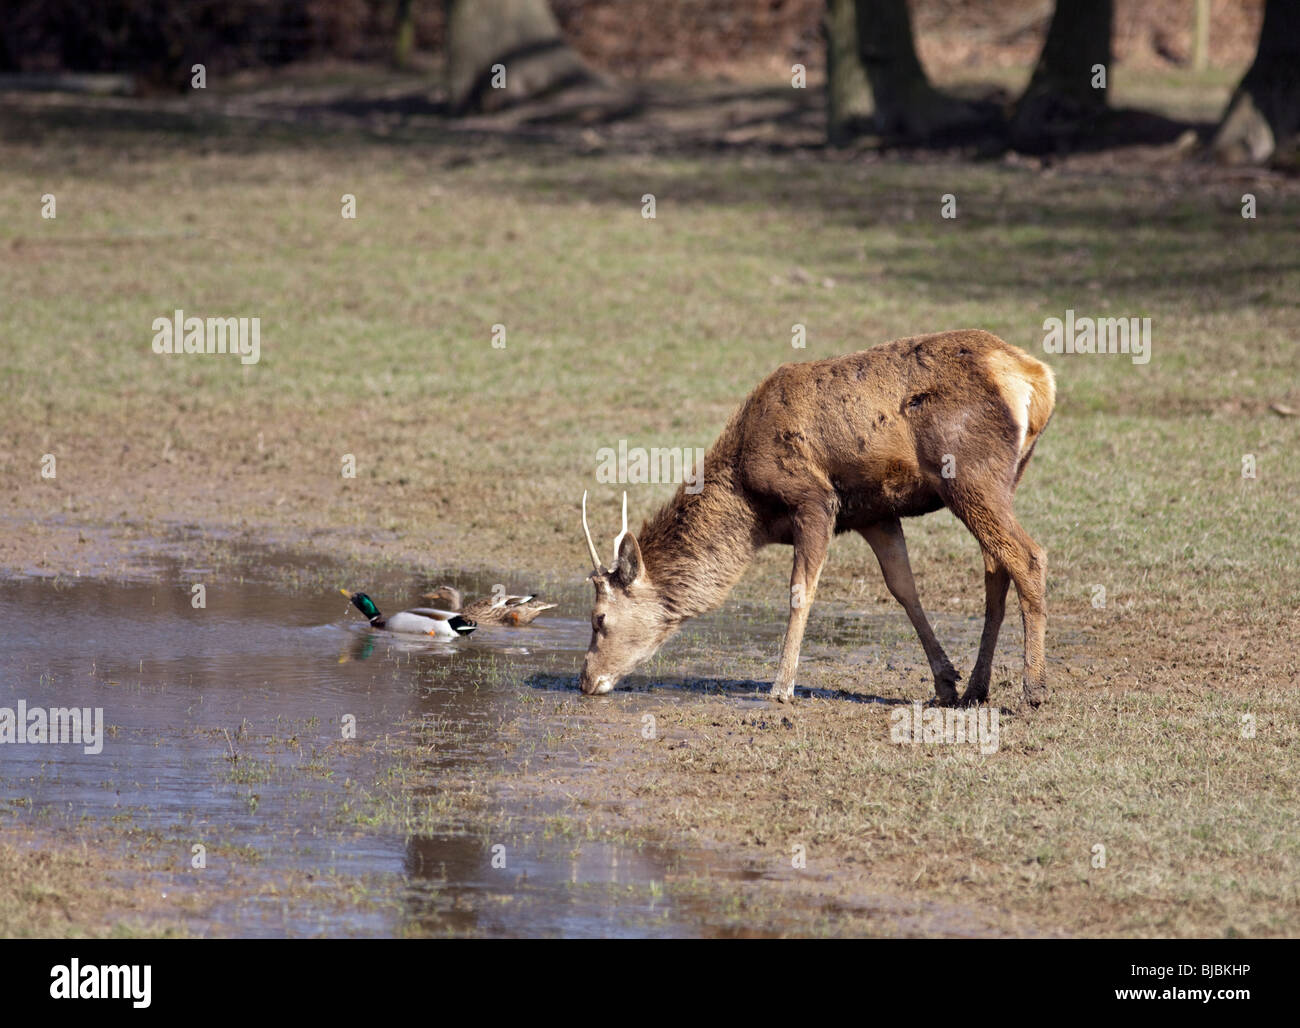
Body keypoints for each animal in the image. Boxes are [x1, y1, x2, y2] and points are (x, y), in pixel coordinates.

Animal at [578, 329, 1056, 709]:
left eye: (598, 618)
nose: (585, 680)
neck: (753, 508)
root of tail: (1037, 378)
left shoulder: (815, 500)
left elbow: (800, 592)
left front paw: (782, 686)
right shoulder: (875, 513)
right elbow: (904, 589)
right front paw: (944, 683)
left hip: (969, 473)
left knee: (1028, 556)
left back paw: (1032, 690)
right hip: (1006, 478)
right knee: (996, 569)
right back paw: (976, 689)